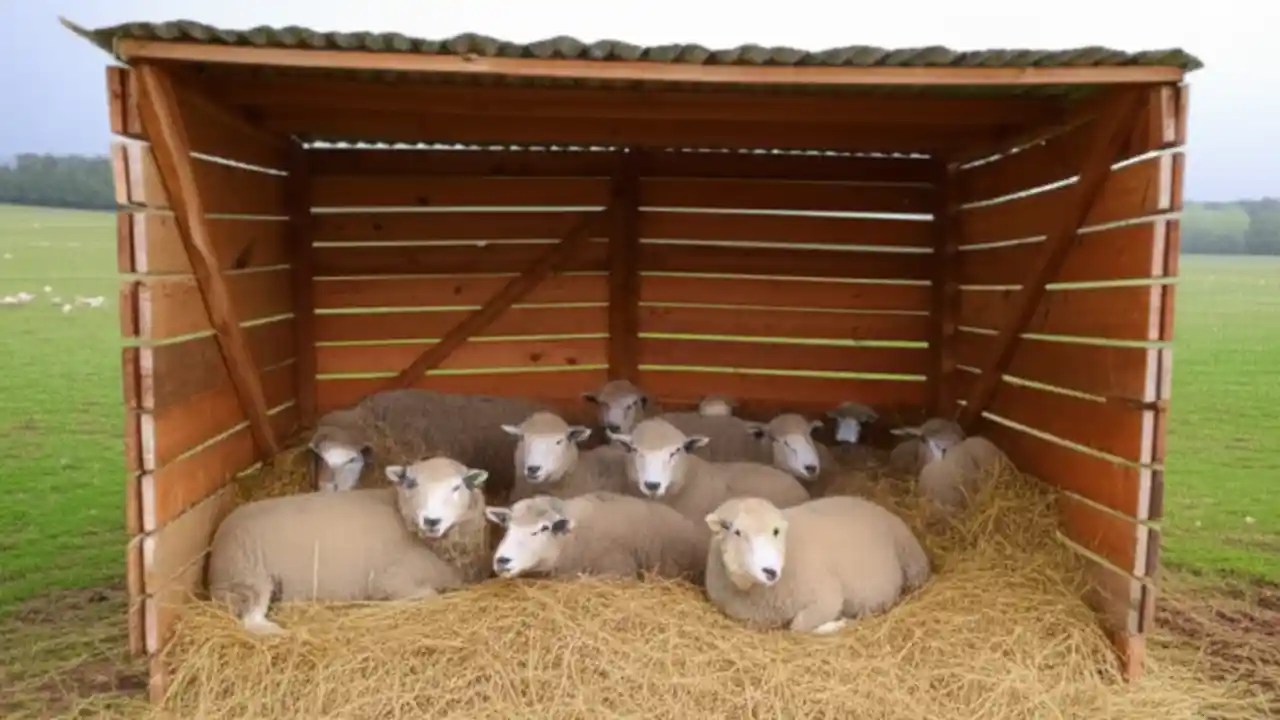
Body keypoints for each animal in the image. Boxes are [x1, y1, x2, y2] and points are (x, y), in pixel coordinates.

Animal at [205, 457, 491, 634]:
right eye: (411, 483)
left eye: (457, 486)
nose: (431, 520)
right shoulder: (390, 580)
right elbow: (429, 596)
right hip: (247, 577)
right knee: (251, 620)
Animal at [702, 495, 931, 634]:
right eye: (736, 532)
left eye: (776, 531)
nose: (770, 571)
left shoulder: (827, 597)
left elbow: (798, 625)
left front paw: (839, 624)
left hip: (913, 562)